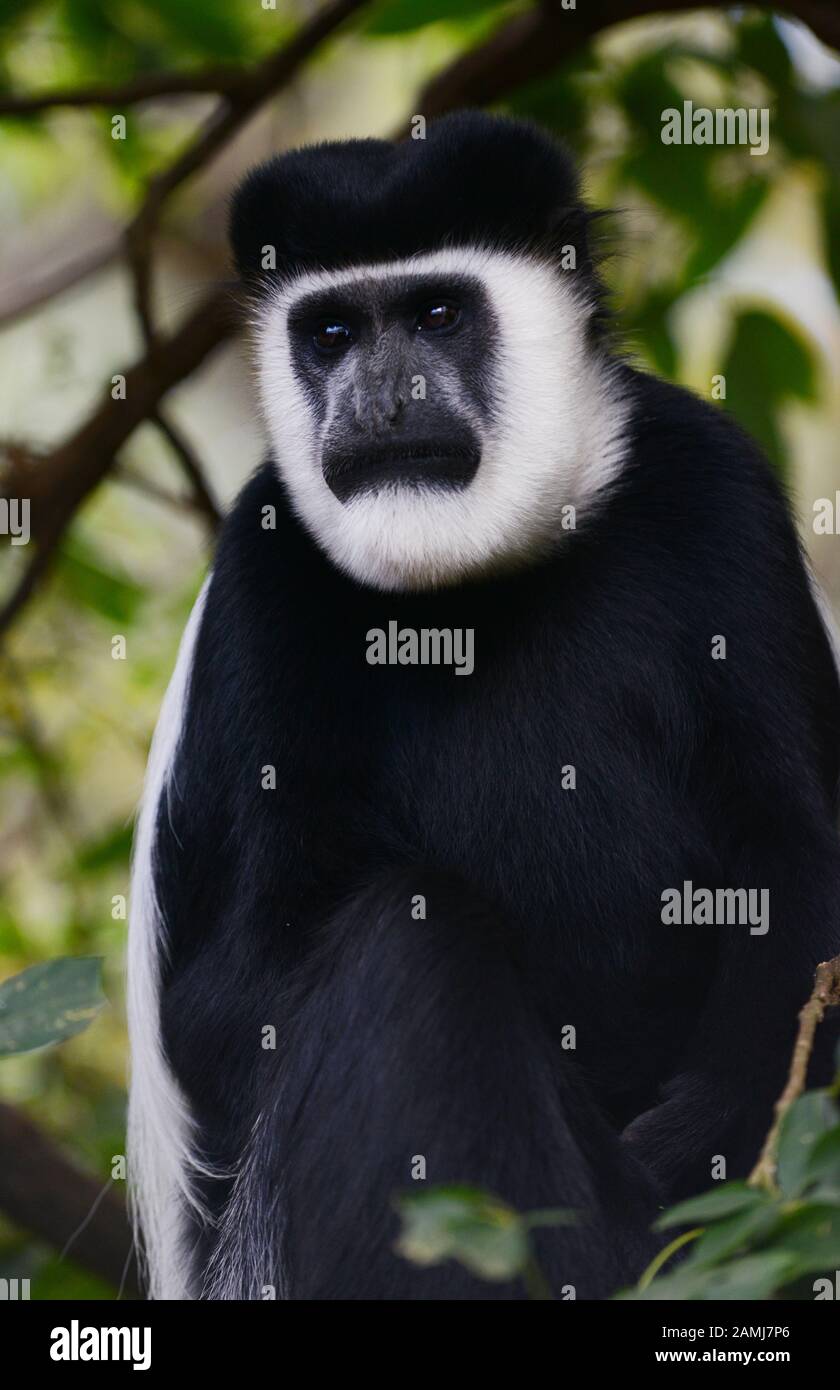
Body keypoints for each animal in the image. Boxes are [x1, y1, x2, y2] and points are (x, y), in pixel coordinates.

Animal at [127, 111, 840, 1300]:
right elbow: (230, 1000)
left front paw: (706, 1143)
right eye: (330, 333)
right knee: (412, 946)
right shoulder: (261, 585)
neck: (473, 585)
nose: (383, 404)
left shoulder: (717, 491)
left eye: (438, 314)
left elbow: (797, 856)